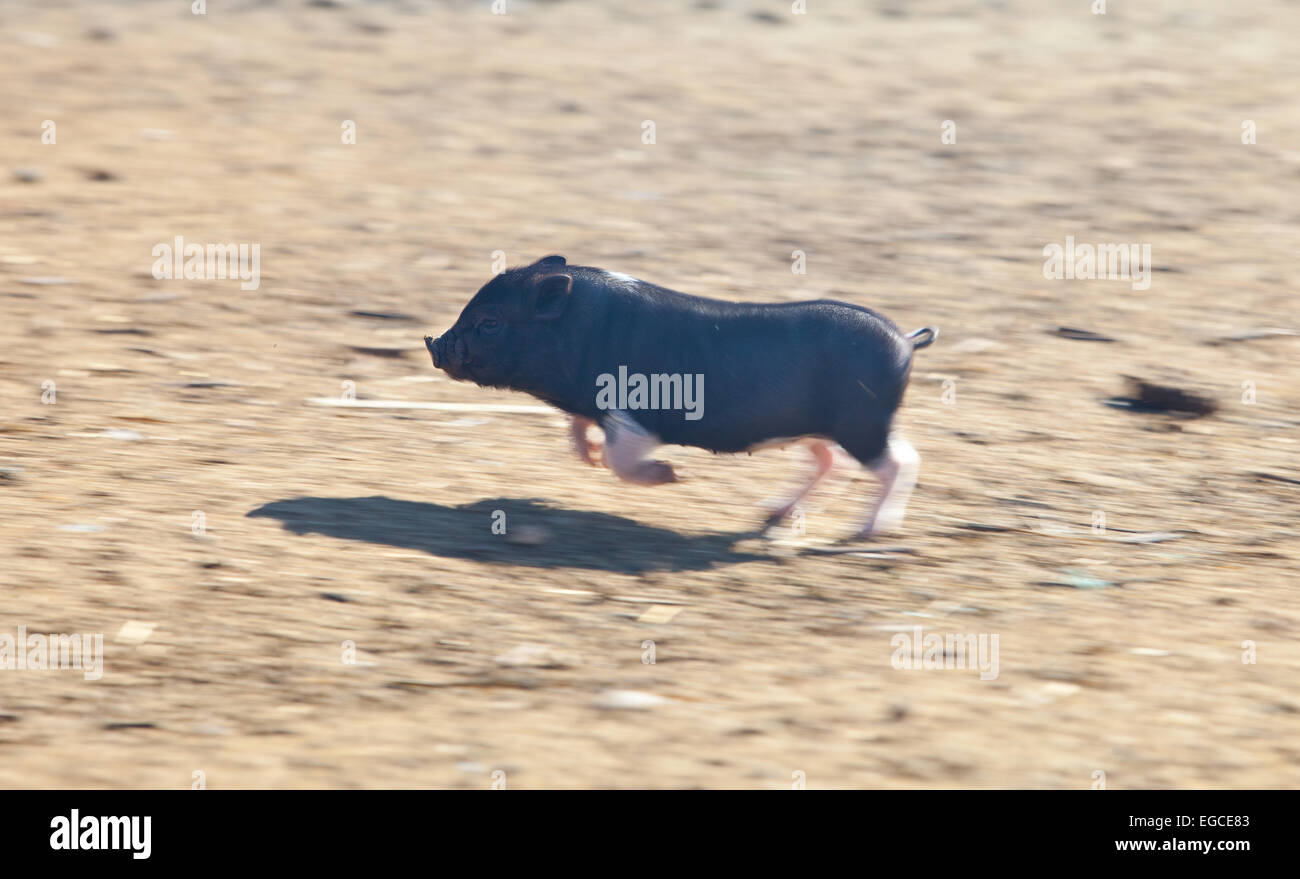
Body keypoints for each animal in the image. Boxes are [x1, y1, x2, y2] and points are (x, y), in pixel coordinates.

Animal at [425, 255, 937, 538]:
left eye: (490, 321)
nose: (433, 343)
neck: (583, 327)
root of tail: (906, 340)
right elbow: (580, 429)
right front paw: (586, 455)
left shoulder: (634, 413)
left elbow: (622, 461)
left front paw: (673, 475)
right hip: (820, 426)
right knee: (831, 463)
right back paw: (772, 514)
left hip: (863, 423)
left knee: (901, 461)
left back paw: (868, 531)